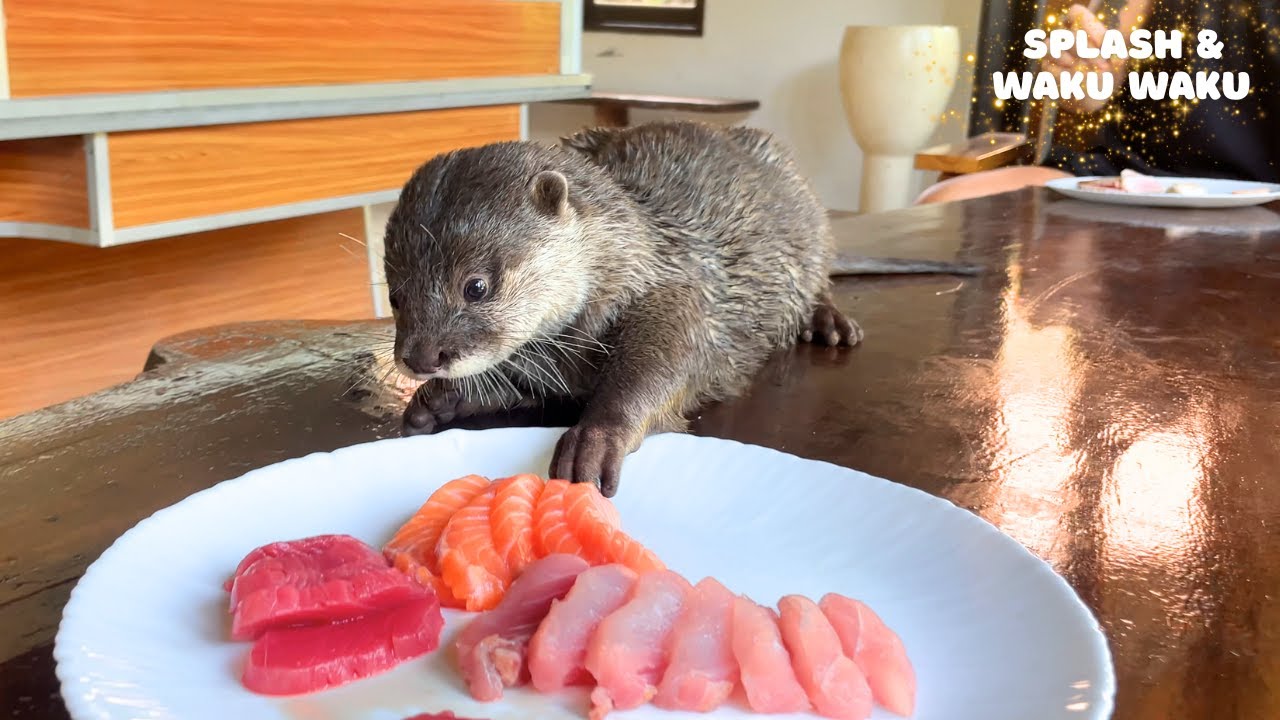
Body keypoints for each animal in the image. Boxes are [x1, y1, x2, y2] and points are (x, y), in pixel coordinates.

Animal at [382, 120, 972, 496]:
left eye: (476, 286)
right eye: (394, 295)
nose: (420, 358)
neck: (631, 249)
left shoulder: (681, 294)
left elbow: (664, 365)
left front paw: (597, 437)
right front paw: (439, 401)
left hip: (807, 215)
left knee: (818, 274)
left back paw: (828, 320)